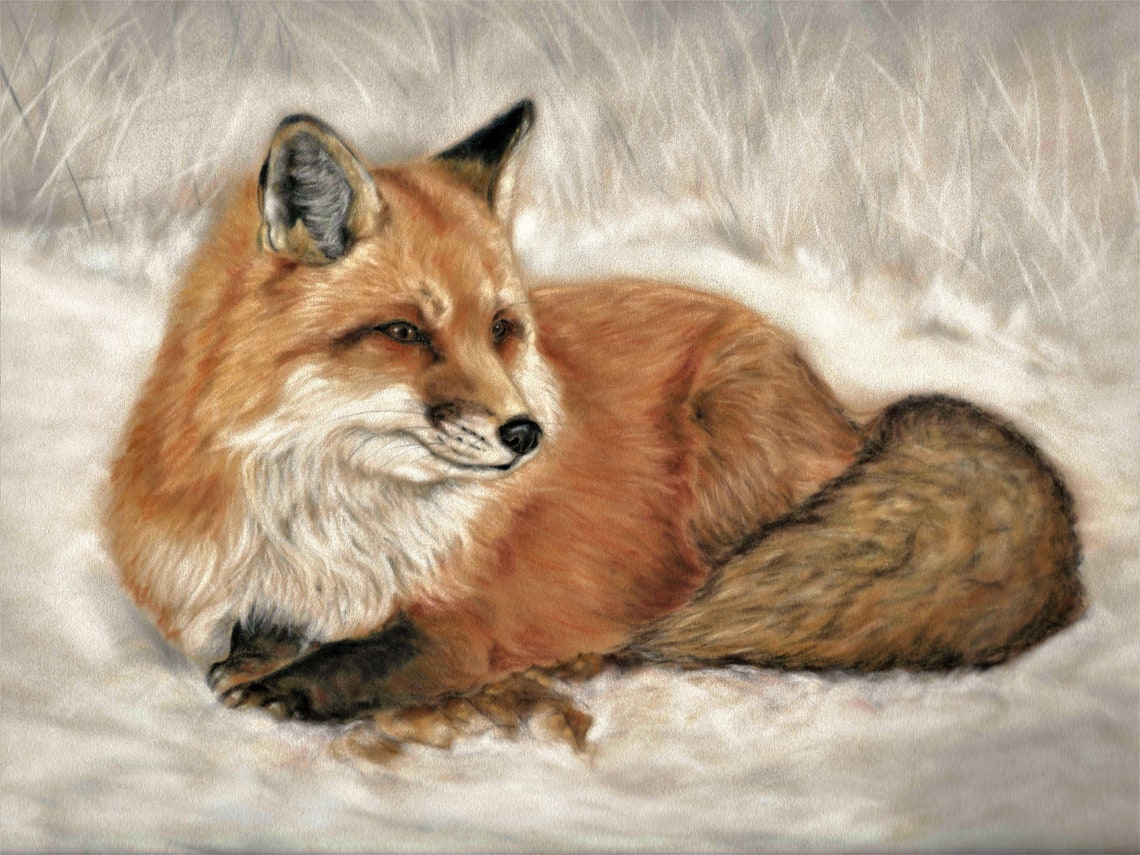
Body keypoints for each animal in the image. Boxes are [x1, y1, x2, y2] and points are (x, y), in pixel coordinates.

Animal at [107, 100, 1083, 725]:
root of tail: (852, 415)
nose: (526, 434)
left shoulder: (493, 614)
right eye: (405, 332)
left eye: (501, 328)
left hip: (725, 441)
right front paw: (266, 652)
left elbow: (396, 648)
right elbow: (260, 626)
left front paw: (305, 680)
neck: (332, 502)